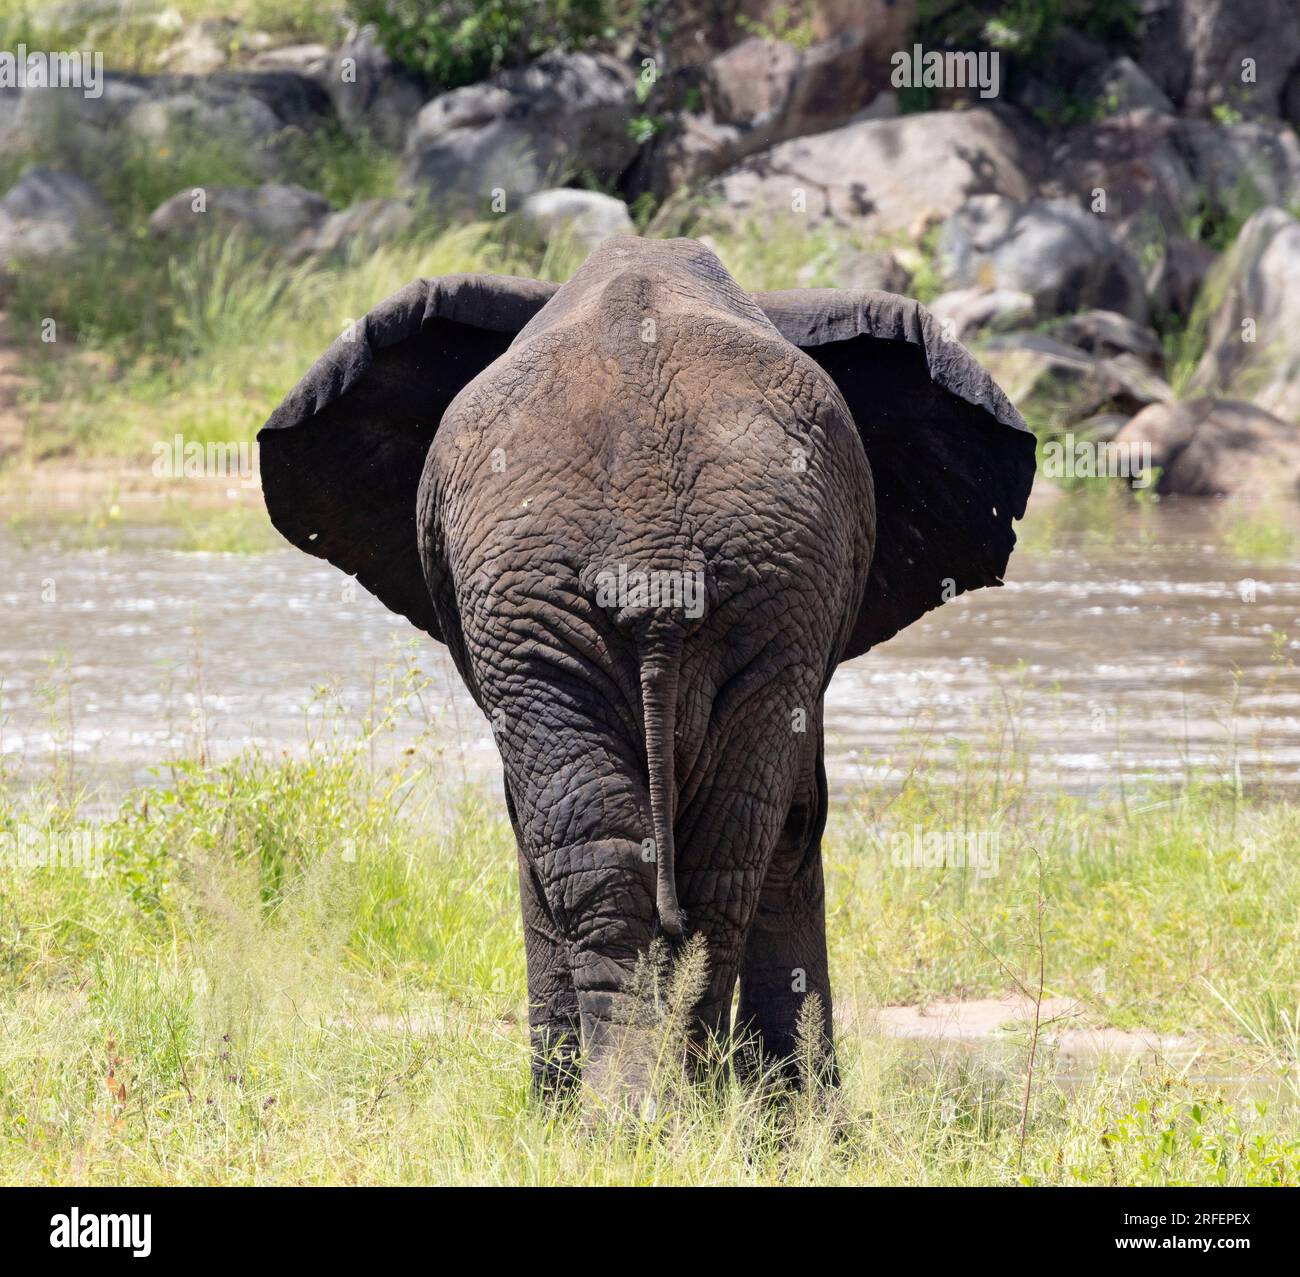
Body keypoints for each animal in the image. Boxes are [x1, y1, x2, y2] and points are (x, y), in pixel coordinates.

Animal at [258, 236, 1035, 1096]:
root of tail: (652, 551)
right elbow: (794, 818)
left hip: (699, 591)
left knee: (643, 851)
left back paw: (643, 1107)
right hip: (597, 601)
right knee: (681, 854)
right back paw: (654, 1105)